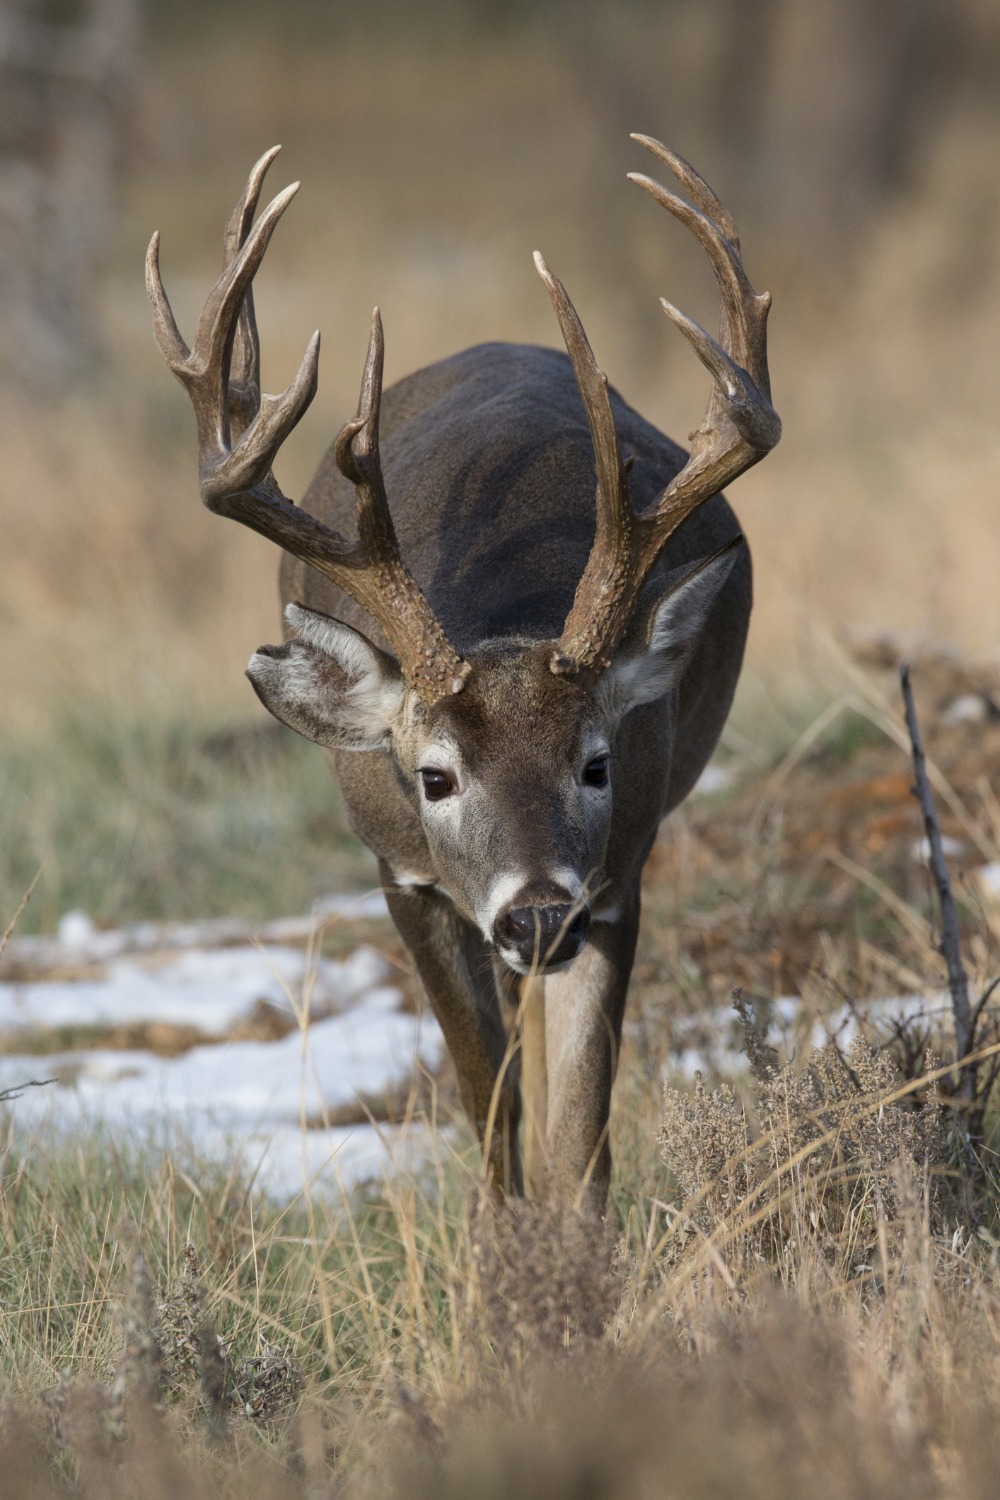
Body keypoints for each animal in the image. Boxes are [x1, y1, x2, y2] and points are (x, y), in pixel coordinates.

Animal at [146, 137, 779, 1215]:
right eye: (433, 776)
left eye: (597, 763)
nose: (535, 913)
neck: (504, 608)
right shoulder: (401, 871)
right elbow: (492, 1108)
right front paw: (500, 1252)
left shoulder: (618, 873)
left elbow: (579, 1136)